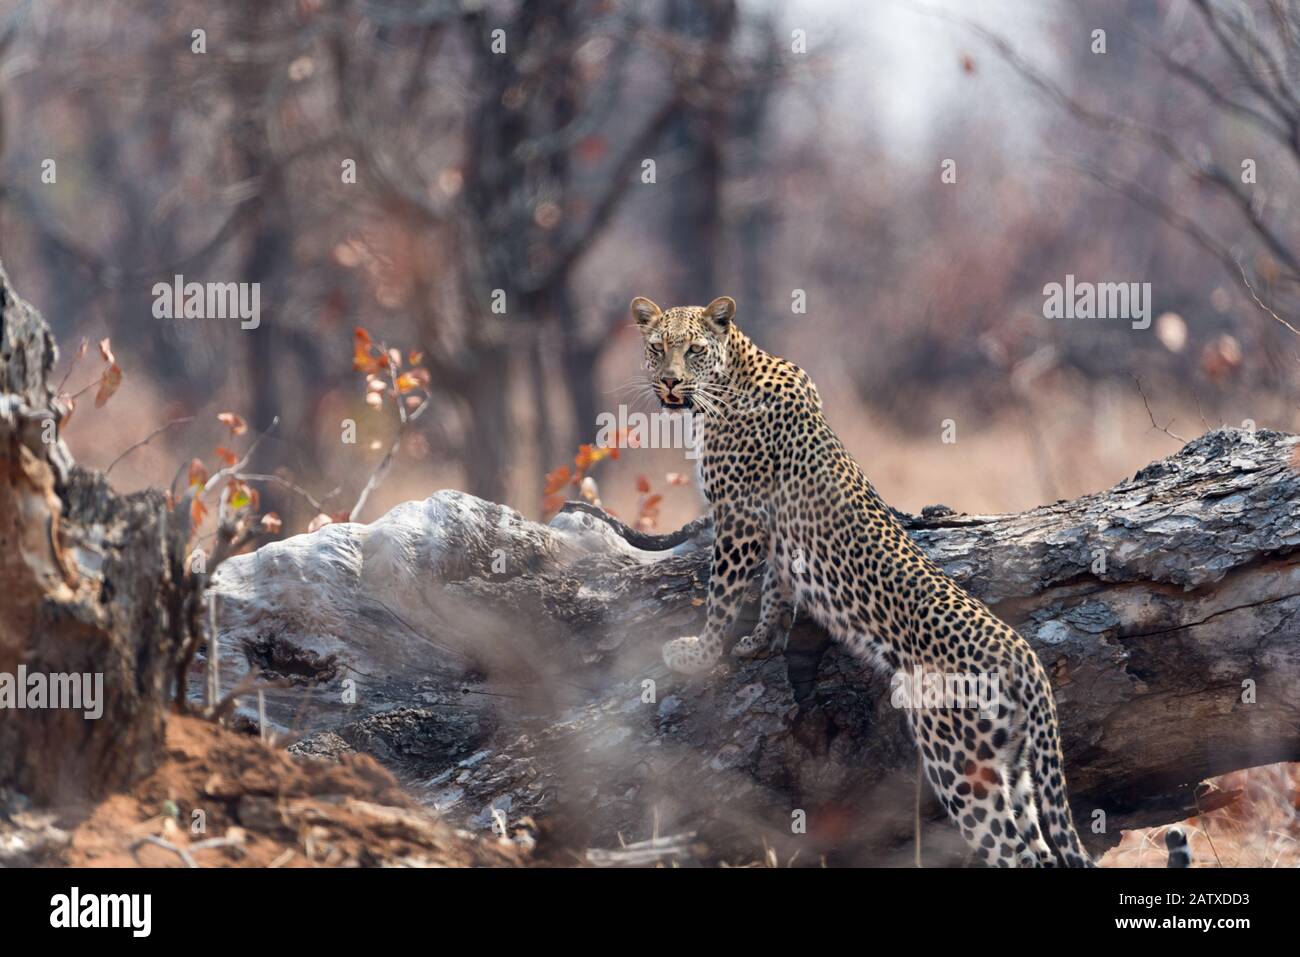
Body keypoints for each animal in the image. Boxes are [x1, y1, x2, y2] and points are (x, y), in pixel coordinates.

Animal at [630, 293, 1187, 868]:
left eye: (694, 351)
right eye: (656, 348)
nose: (670, 382)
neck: (733, 373)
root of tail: (1027, 661)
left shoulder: (738, 519)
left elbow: (722, 593)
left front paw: (699, 653)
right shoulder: (777, 535)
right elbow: (775, 592)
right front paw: (759, 642)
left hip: (959, 763)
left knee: (1016, 853)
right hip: (1016, 773)